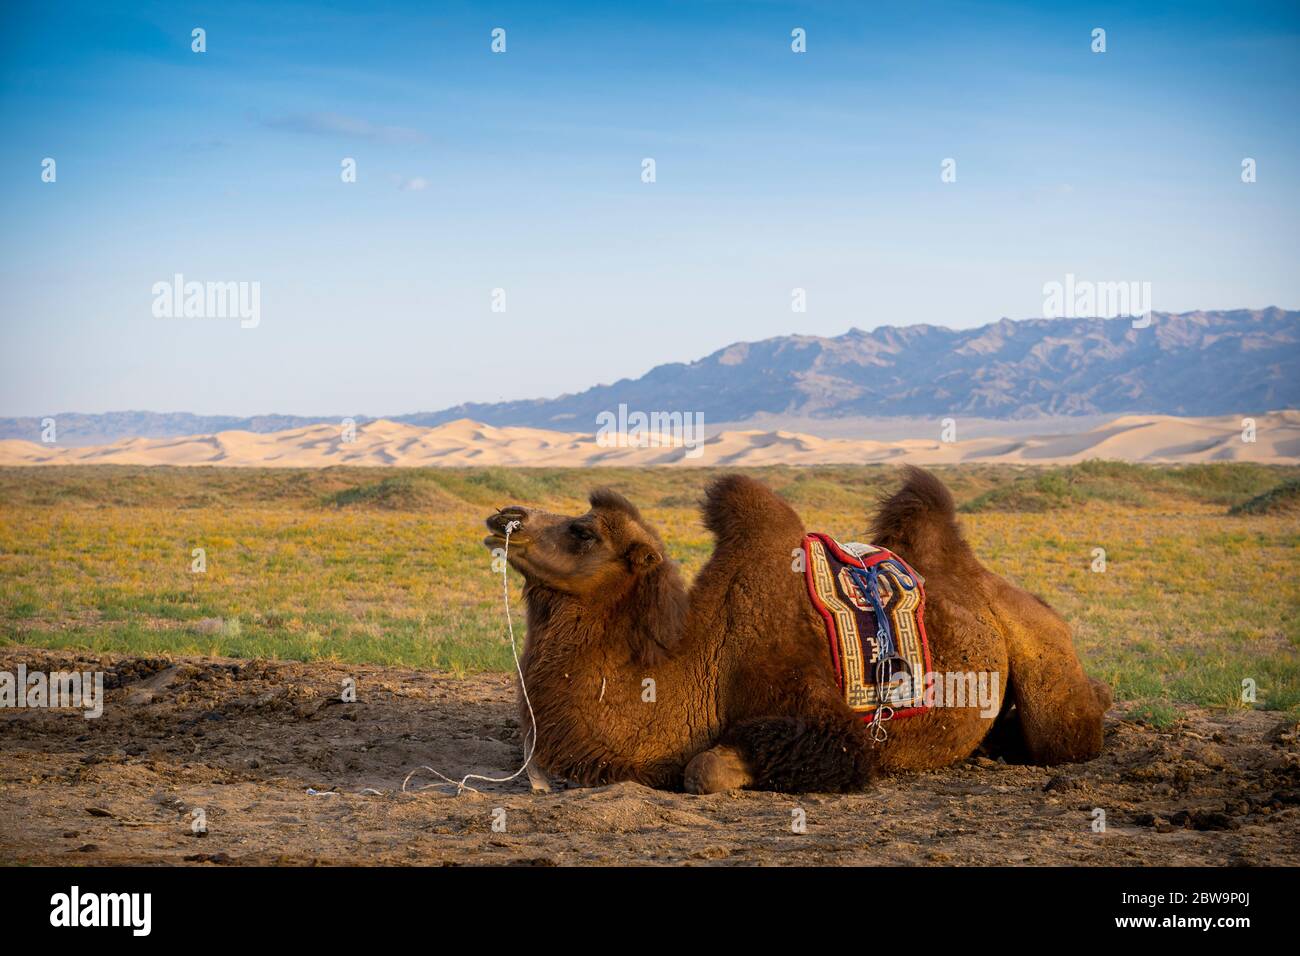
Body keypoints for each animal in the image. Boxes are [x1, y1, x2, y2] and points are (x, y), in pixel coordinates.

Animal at [482, 467, 1111, 794]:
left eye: (583, 531)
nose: (505, 516)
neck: (697, 659)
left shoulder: (821, 720)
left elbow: (702, 768)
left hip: (1047, 669)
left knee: (1068, 731)